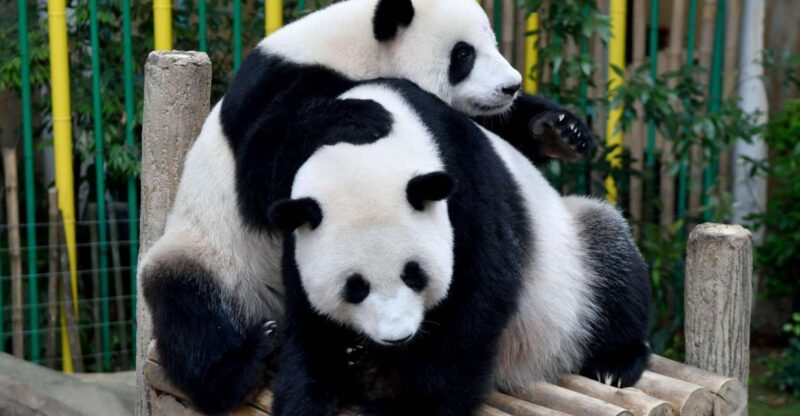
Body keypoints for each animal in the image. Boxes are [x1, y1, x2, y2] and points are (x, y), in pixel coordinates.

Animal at [141, 0, 595, 413]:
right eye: (463, 54)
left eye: (492, 42)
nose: (510, 86)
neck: (356, 48)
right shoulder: (277, 85)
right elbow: (261, 170)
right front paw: (361, 115)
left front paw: (560, 131)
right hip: (211, 254)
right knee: (189, 310)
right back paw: (242, 367)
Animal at [266, 79, 651, 416]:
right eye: (355, 287)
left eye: (414, 274)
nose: (398, 337)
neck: (363, 148)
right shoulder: (296, 227)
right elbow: (308, 317)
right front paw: (305, 397)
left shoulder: (465, 183)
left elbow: (478, 296)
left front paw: (417, 405)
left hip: (573, 269)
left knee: (611, 254)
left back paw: (615, 363)